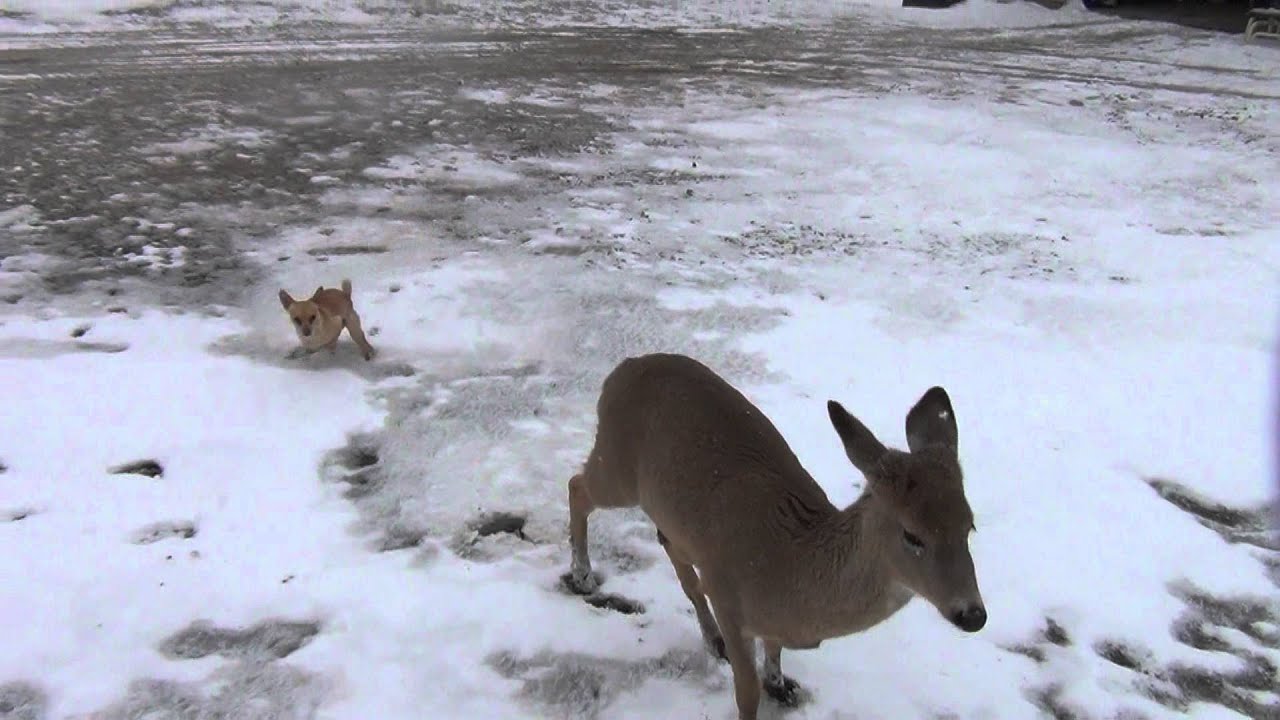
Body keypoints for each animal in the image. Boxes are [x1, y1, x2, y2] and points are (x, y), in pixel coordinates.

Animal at [562, 353, 986, 720]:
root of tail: (620, 371)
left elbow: (774, 649)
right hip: (617, 465)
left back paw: (709, 637)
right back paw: (582, 576)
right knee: (577, 485)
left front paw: (780, 683)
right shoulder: (728, 596)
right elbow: (746, 692)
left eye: (969, 526)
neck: (791, 568)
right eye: (913, 535)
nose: (973, 615)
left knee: (669, 545)